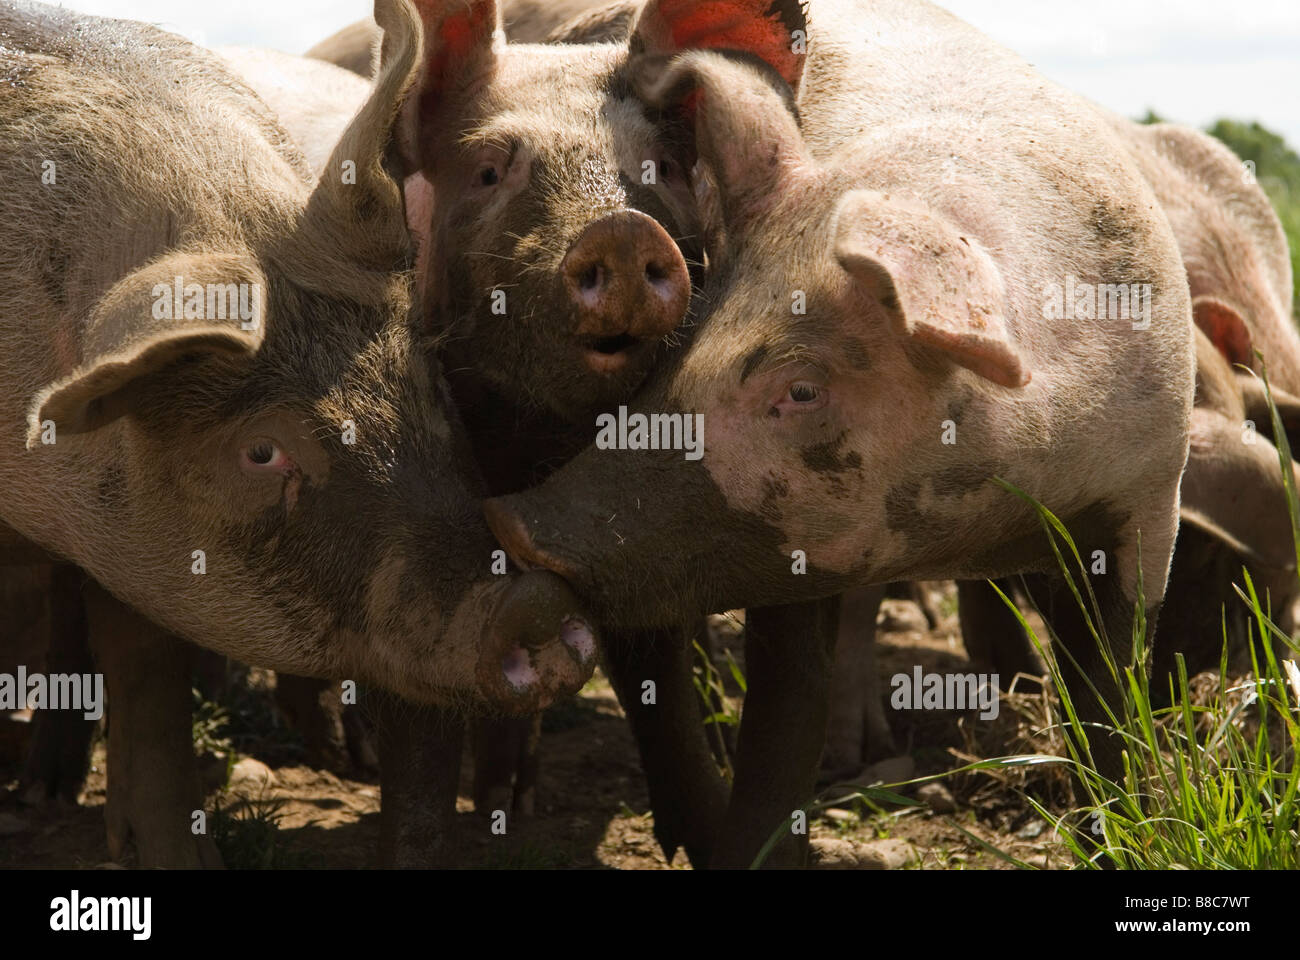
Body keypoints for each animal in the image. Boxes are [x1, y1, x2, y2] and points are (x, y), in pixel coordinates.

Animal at [486, 0, 1196, 866]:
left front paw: (1121, 835)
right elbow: (785, 709)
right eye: (688, 336)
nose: (517, 522)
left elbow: (1111, 694)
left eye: (801, 388)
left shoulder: (1147, 493)